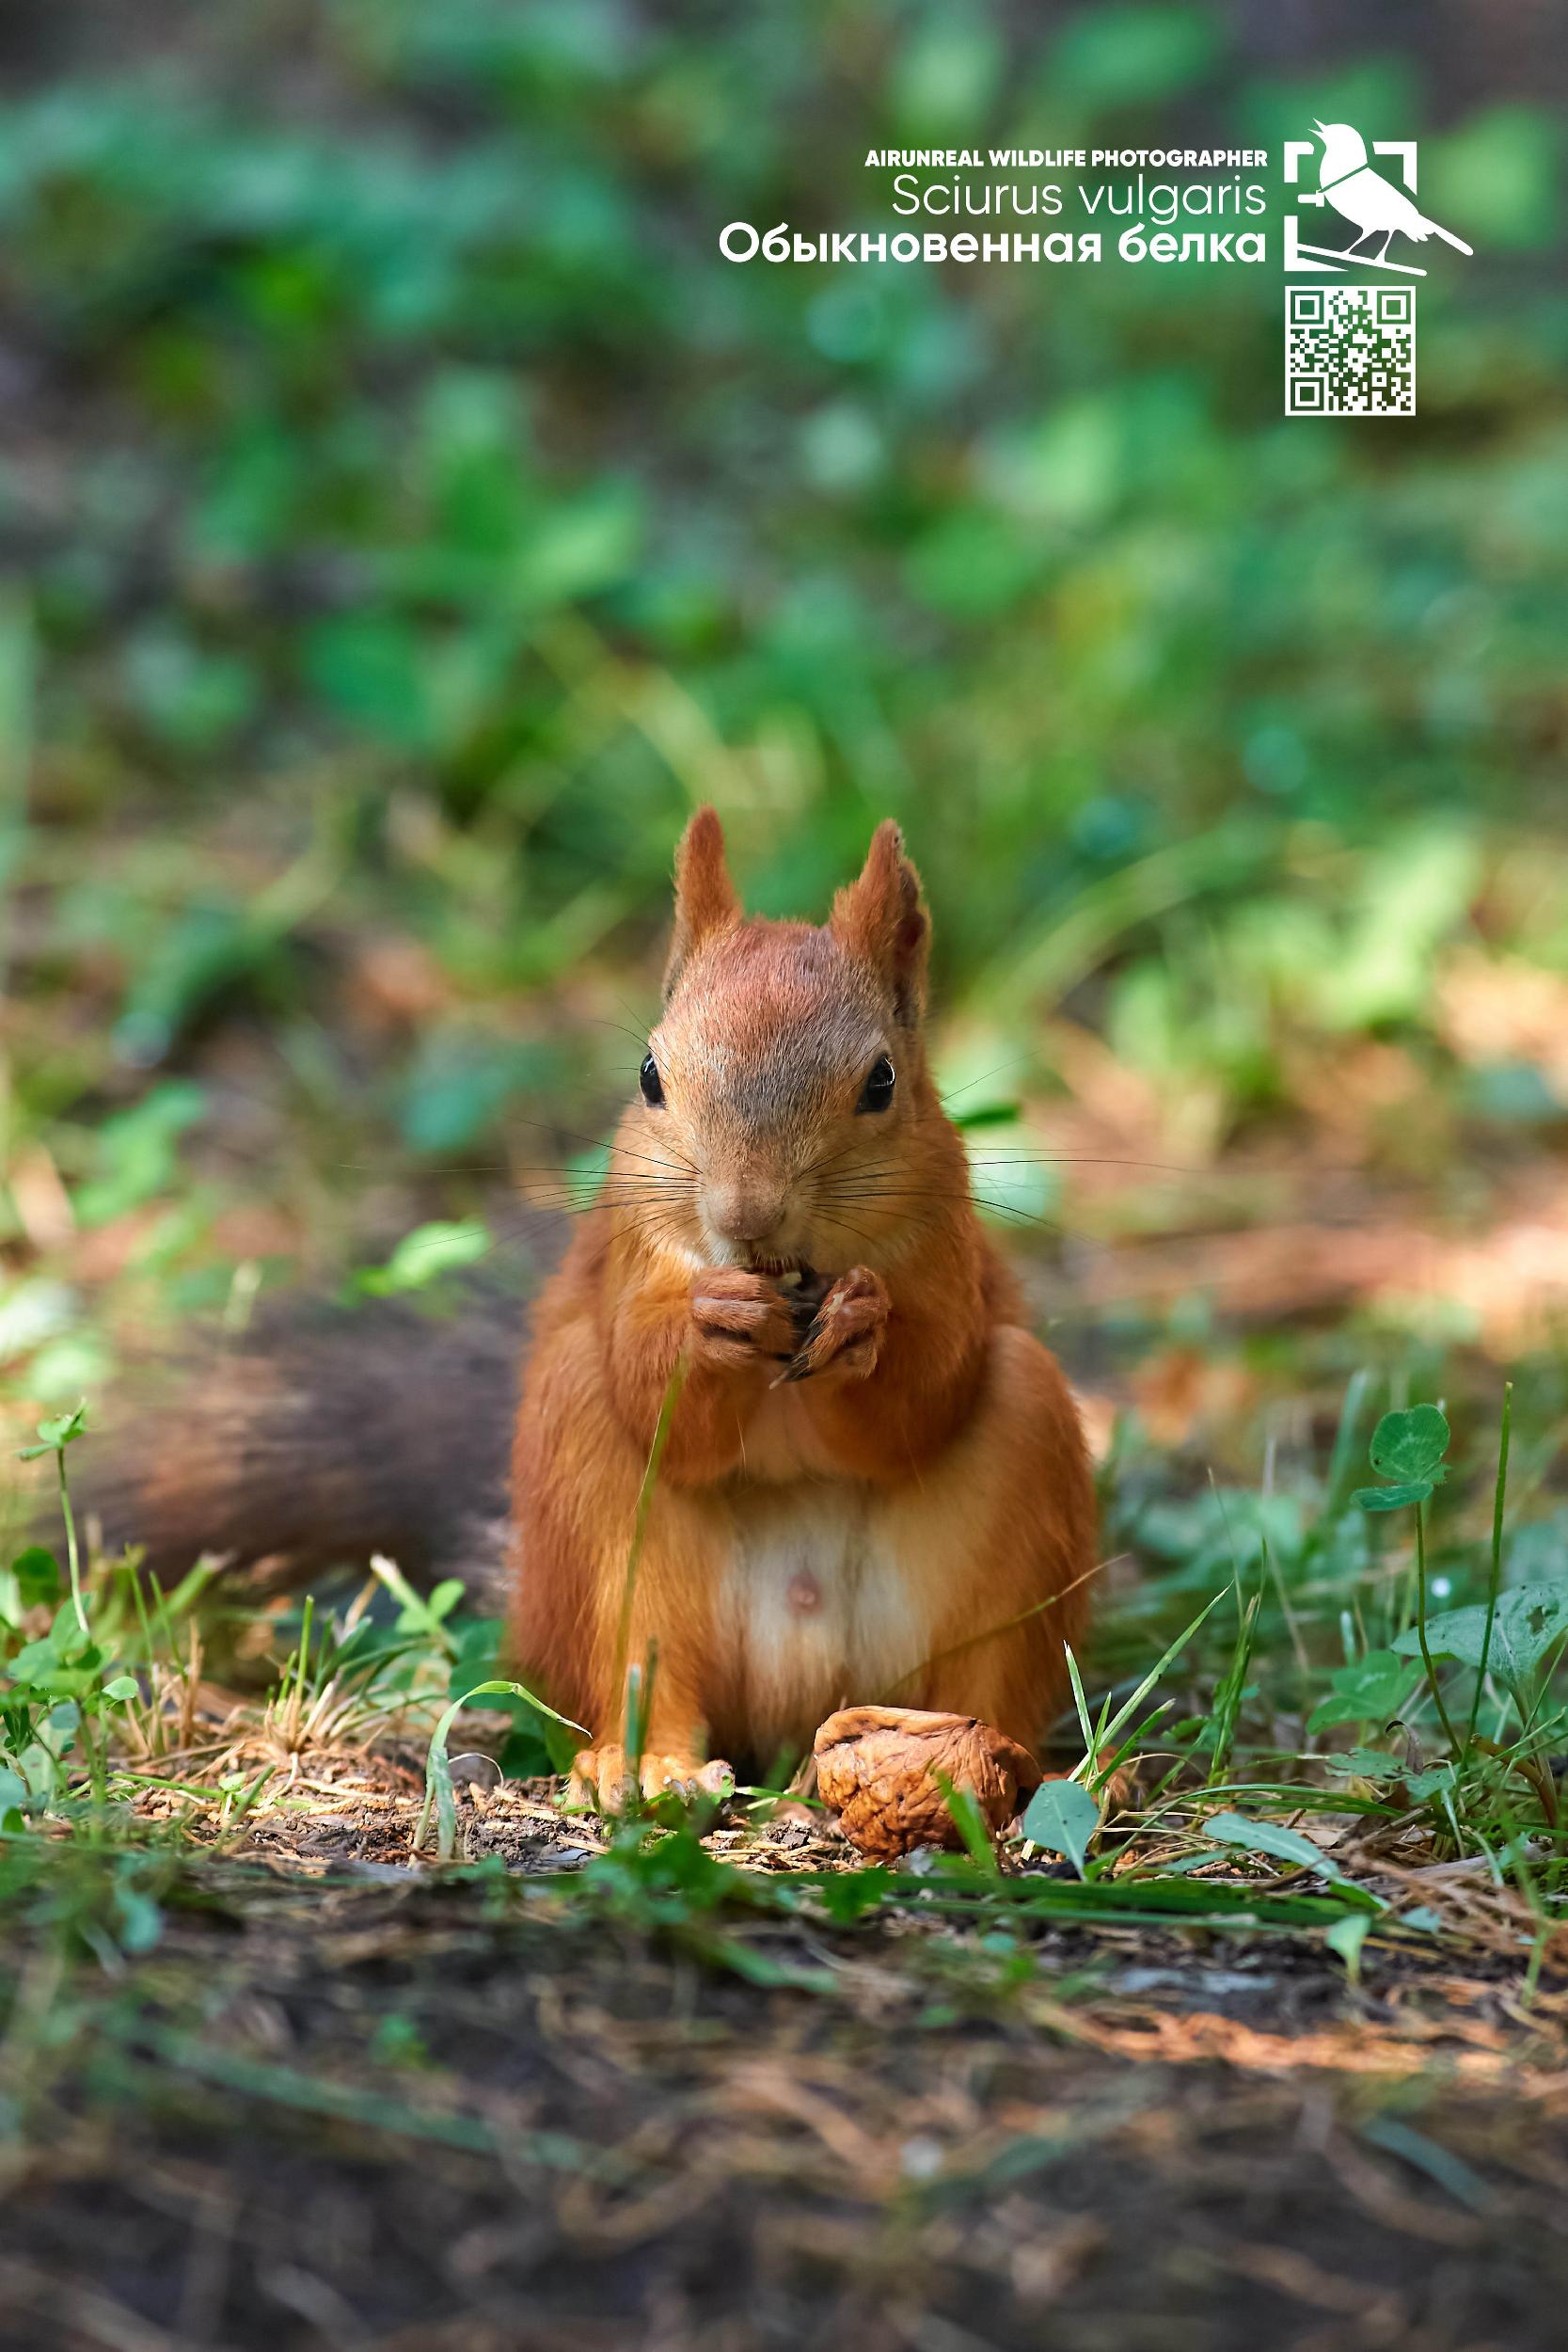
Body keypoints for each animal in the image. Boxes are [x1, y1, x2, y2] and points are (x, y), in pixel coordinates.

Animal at [54, 812, 1096, 1805]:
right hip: (590, 1504)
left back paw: (969, 1756)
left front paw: (860, 1321)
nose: (744, 1217)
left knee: (984, 1648)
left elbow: (924, 1402)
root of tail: (792, 1703)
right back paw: (646, 1767)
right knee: (637, 1663)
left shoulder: (944, 1247)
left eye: (880, 1081)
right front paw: (708, 1322)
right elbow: (651, 1395)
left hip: (1017, 1483)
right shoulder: (624, 1256)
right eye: (649, 1076)